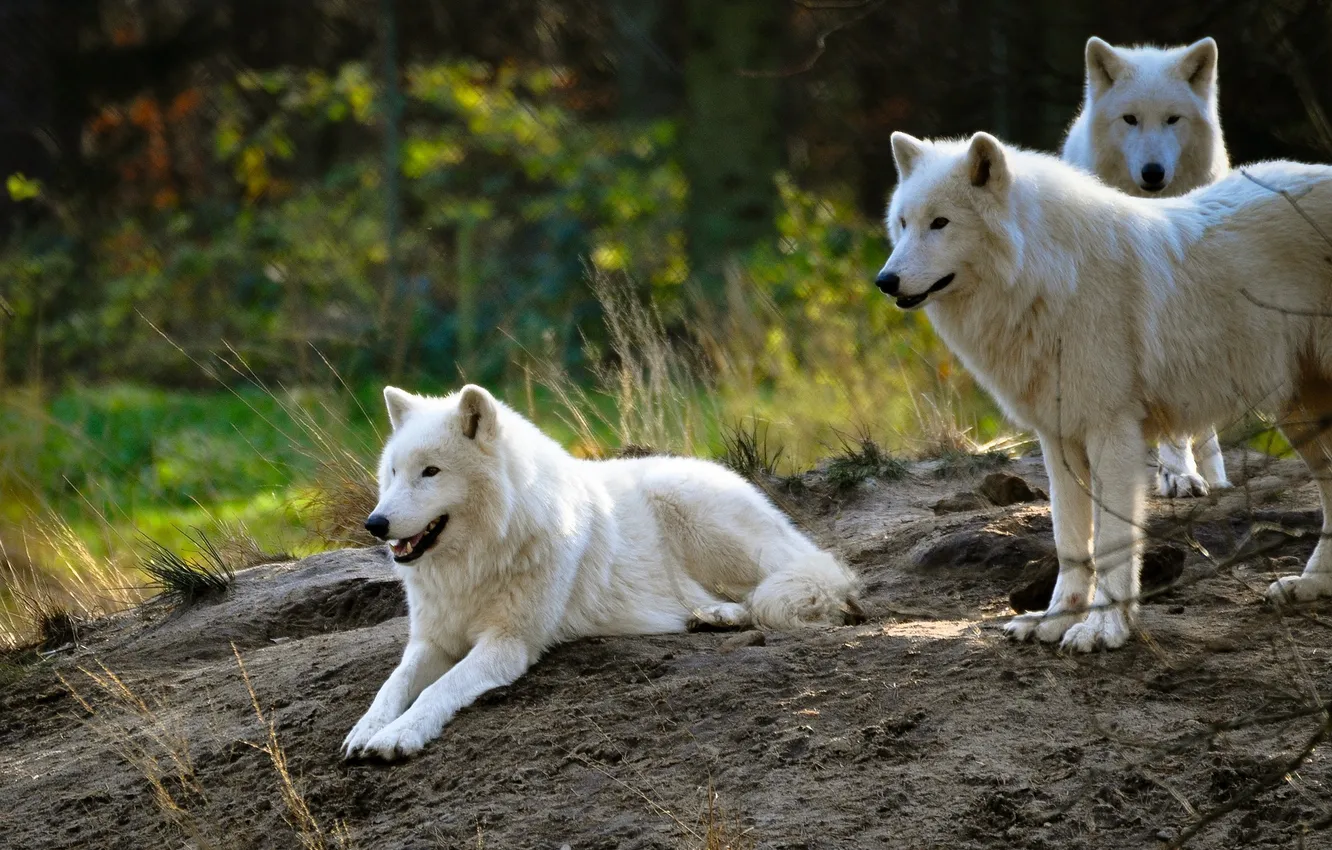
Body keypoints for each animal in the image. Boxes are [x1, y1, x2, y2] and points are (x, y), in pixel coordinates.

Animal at [342, 384, 859, 759]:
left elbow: (437, 690)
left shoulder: (508, 644)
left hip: (700, 520)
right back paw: (712, 616)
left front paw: (397, 736)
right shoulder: (430, 640)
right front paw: (365, 730)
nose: (375, 524)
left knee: (795, 586)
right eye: (393, 472)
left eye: (430, 472)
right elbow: (392, 686)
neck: (477, 561)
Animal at [874, 130, 1332, 651]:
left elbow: (1112, 543)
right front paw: (1054, 619)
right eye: (903, 223)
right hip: (1298, 414)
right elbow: (1071, 544)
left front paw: (1104, 629)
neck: (1051, 277)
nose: (884, 281)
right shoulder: (1059, 439)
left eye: (940, 223)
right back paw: (1312, 585)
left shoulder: (1112, 434)